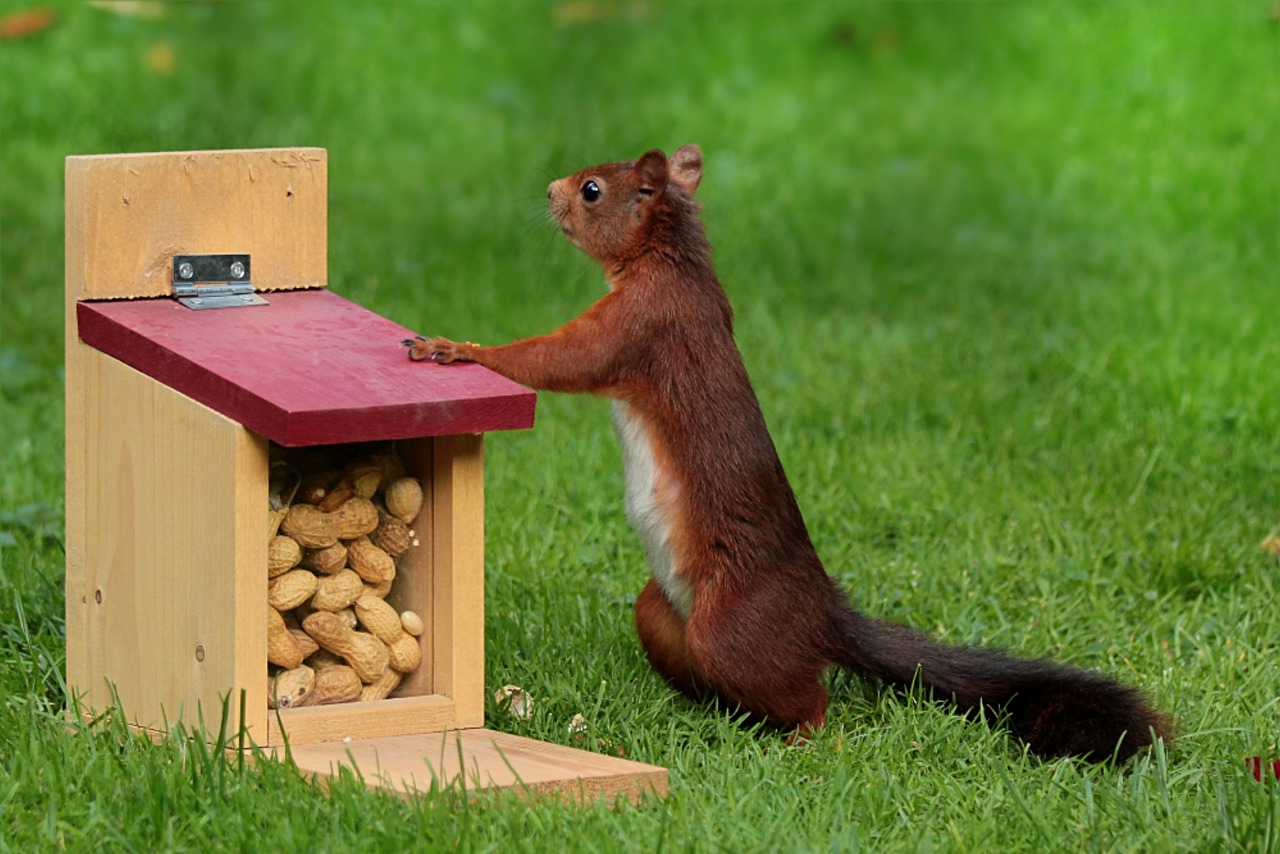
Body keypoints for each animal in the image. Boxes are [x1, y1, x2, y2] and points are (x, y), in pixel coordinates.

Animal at [404, 144, 1170, 762]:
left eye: (593, 189)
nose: (550, 191)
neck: (670, 261)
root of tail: (823, 615)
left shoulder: (642, 326)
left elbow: (553, 358)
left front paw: (457, 348)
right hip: (660, 612)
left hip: (734, 627)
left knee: (809, 698)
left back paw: (798, 738)